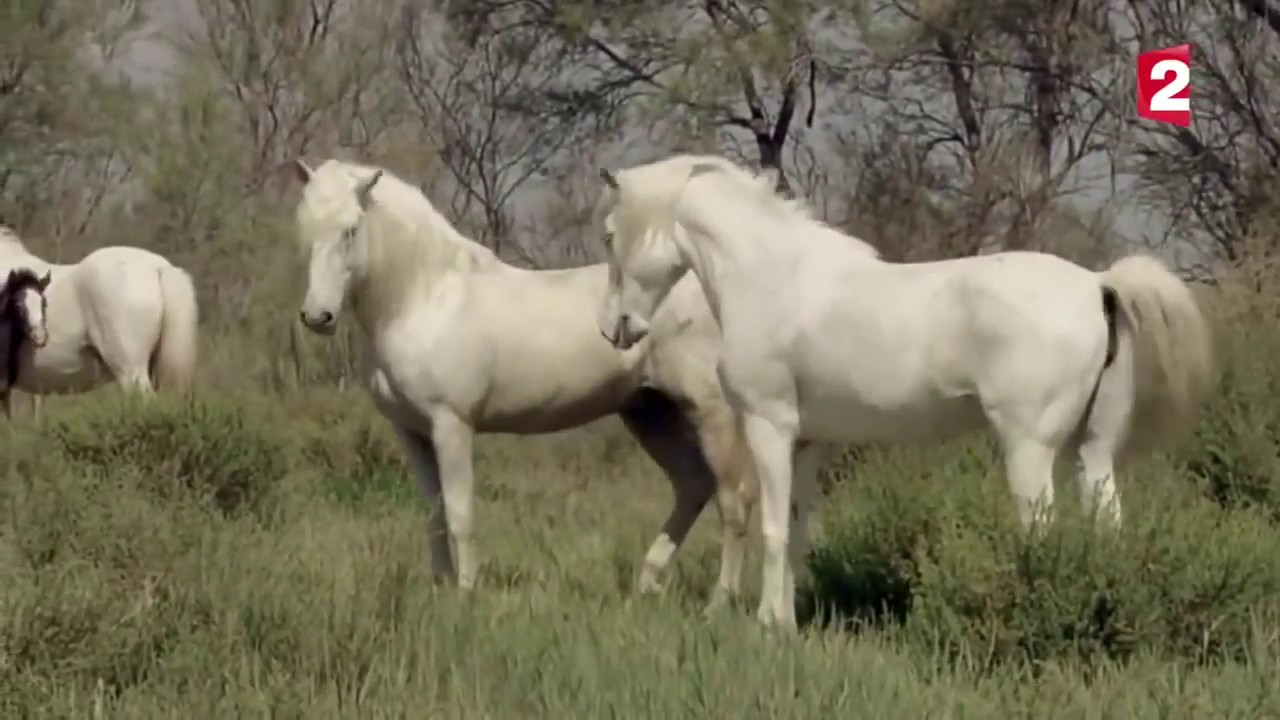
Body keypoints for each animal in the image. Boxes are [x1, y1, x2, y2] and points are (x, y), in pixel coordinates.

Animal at [287, 158, 757, 612]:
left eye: (350, 228)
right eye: (305, 226)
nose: (317, 317)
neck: (425, 297)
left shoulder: (451, 425)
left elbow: (459, 513)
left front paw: (466, 594)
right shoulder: (412, 431)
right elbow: (434, 512)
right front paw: (440, 588)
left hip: (710, 411)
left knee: (733, 498)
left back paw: (719, 602)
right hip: (648, 413)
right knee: (692, 485)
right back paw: (647, 583)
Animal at [594, 154, 1215, 630]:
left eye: (609, 235)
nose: (613, 328)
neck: (773, 276)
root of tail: (1097, 284)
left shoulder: (770, 428)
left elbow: (771, 528)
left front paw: (767, 624)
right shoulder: (811, 443)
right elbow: (795, 532)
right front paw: (788, 623)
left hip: (1029, 449)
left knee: (1041, 530)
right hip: (1093, 451)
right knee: (1107, 522)